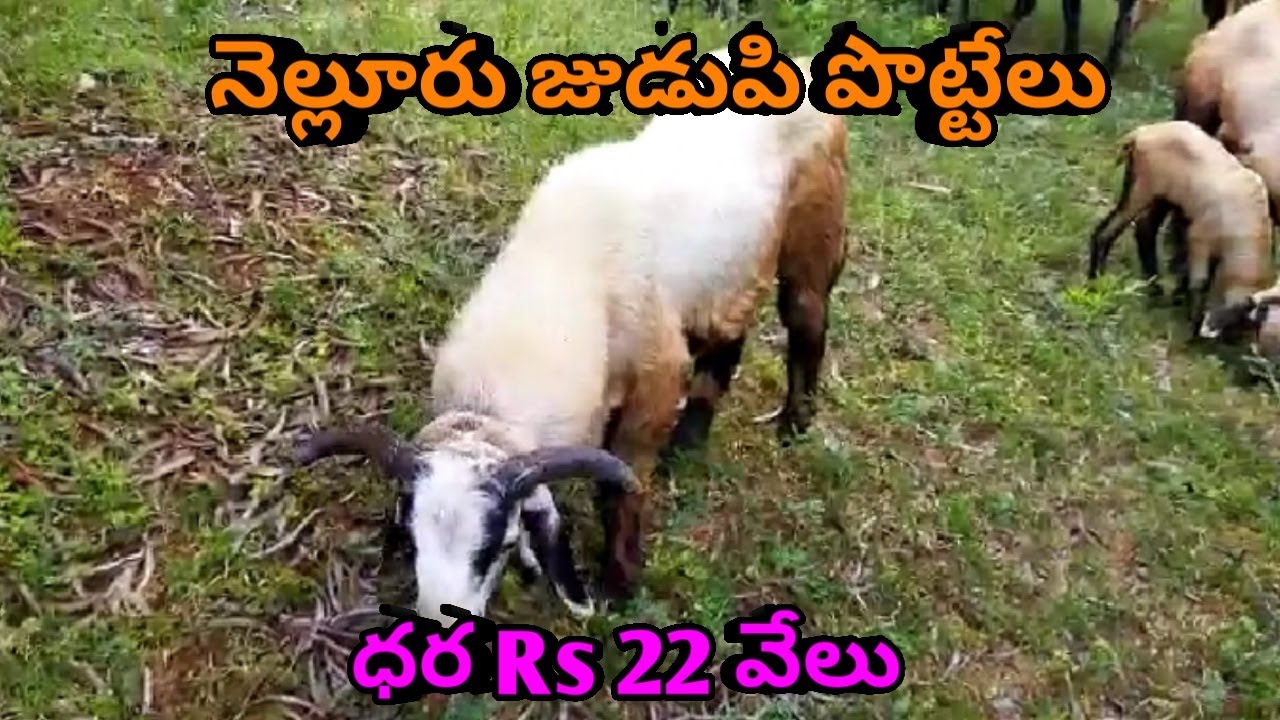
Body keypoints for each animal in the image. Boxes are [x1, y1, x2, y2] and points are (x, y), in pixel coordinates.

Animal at [1087, 120, 1274, 334]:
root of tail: (1140, 134)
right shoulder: (1199, 238)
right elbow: (1199, 281)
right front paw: (1191, 324)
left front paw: (1179, 299)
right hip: (1142, 189)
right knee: (1107, 232)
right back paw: (1096, 281)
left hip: (1162, 197)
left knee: (1144, 229)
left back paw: (1154, 290)